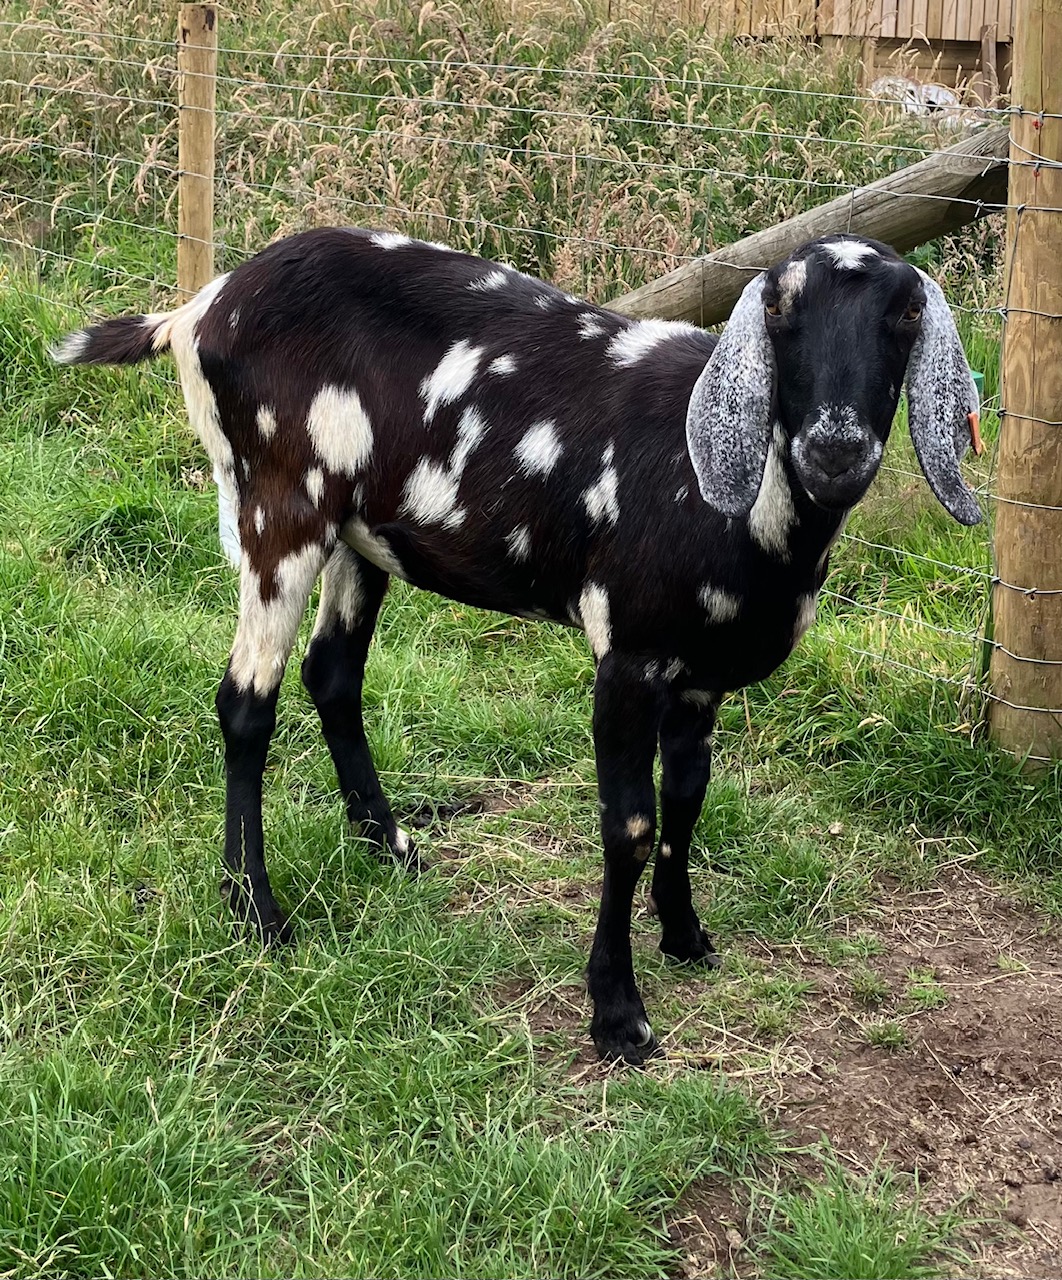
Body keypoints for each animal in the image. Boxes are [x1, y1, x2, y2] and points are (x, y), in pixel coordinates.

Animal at [52, 228, 981, 1064]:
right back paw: (256, 910)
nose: (835, 450)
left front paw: (686, 935)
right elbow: (630, 825)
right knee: (247, 702)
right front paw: (618, 1015)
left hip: (361, 529)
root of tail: (199, 307)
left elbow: (687, 797)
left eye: (907, 313)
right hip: (281, 503)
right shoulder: (630, 653)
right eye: (780, 308)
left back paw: (389, 843)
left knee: (333, 674)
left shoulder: (699, 674)